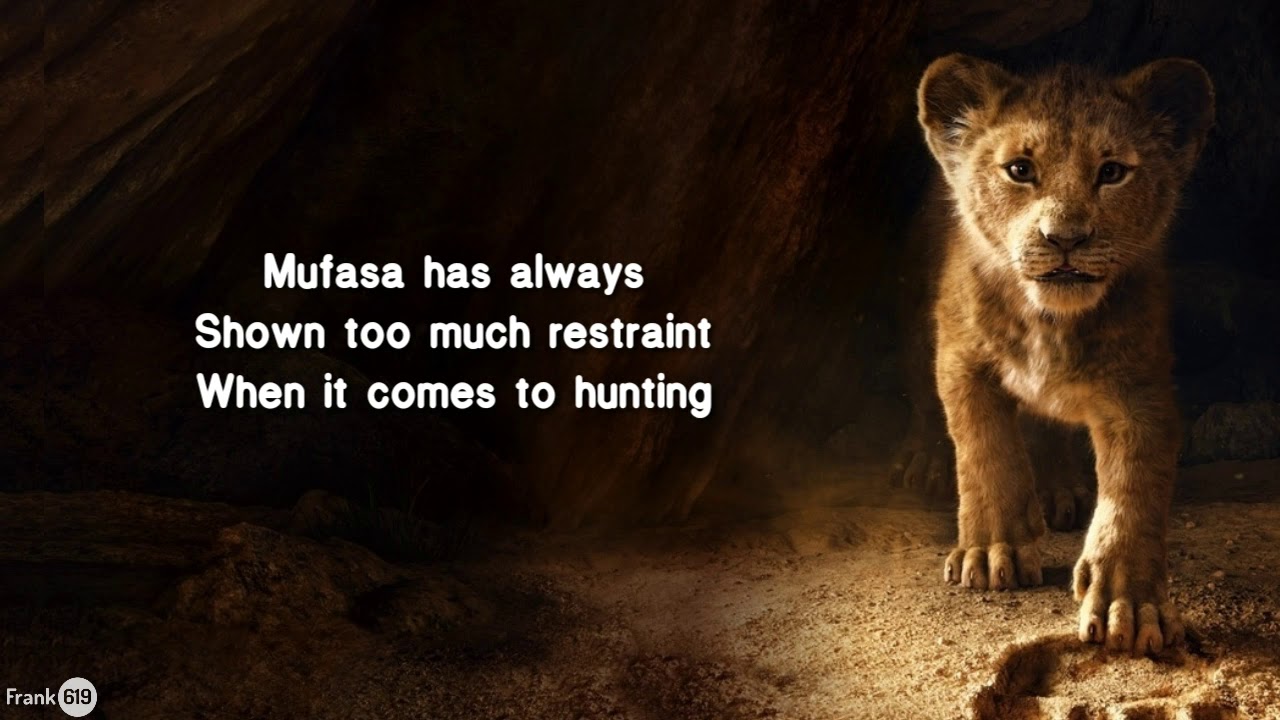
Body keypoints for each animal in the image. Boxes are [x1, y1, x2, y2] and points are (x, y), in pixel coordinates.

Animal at [911, 54, 1215, 656]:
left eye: (1113, 172)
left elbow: (1133, 493)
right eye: (1020, 170)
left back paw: (1060, 490)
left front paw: (1130, 604)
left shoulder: (1140, 390)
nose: (1065, 238)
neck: (1050, 321)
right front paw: (993, 551)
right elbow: (986, 451)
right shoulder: (961, 358)